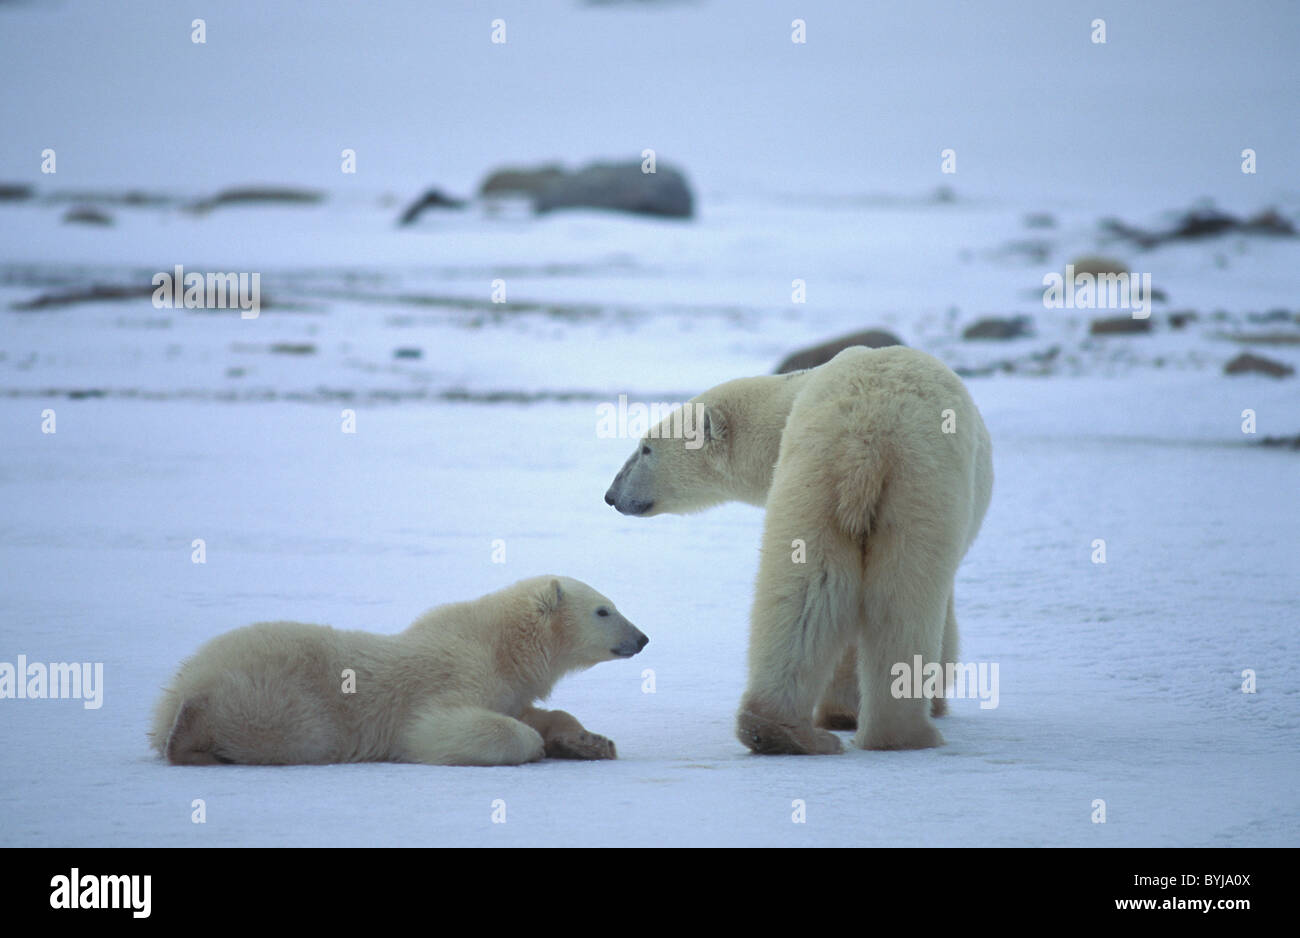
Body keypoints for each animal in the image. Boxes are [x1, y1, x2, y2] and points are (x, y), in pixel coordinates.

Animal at [149, 576, 648, 766]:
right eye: (604, 610)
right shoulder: (455, 673)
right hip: (279, 699)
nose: (642, 638)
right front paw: (537, 745)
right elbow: (439, 729)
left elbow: (531, 712)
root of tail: (181, 686)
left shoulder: (506, 684)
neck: (499, 644)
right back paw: (193, 741)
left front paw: (589, 741)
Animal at [604, 345, 992, 754]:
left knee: (804, 591)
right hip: (910, 486)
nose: (612, 495)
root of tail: (868, 437)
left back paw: (781, 730)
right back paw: (902, 734)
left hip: (821, 476)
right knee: (898, 597)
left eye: (645, 448)